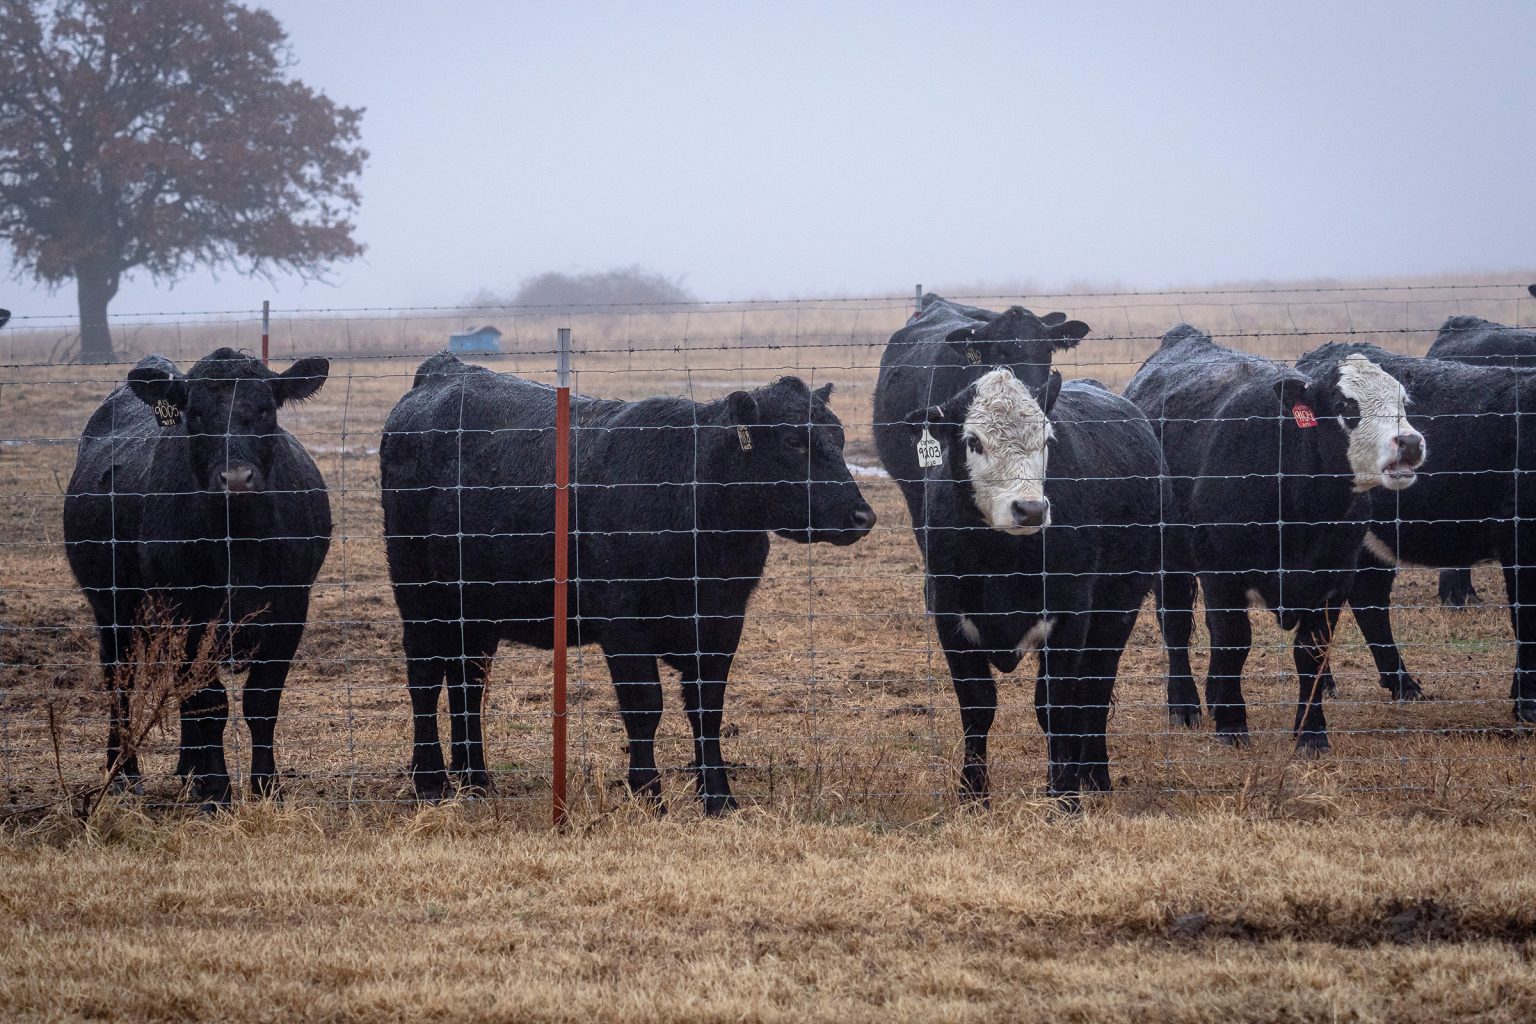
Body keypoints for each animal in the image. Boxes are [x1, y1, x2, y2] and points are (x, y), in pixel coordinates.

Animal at [63, 349, 332, 807]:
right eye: (198, 414)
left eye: (265, 409)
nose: (237, 479)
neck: (237, 539)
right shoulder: (189, 610)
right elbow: (210, 702)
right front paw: (218, 792)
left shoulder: (290, 608)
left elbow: (261, 702)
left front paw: (266, 786)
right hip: (112, 606)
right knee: (121, 678)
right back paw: (124, 771)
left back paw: (190, 768)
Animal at [380, 353, 875, 814]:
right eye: (793, 441)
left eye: (839, 437)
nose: (862, 515)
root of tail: (446, 370)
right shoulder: (623, 623)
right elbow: (644, 705)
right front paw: (650, 795)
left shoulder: (722, 622)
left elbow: (707, 708)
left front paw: (719, 799)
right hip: (418, 593)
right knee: (425, 675)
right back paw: (430, 782)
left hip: (476, 610)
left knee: (468, 680)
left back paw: (477, 781)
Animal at [876, 338, 1162, 802]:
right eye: (973, 440)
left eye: (1047, 439)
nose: (1030, 509)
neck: (1001, 561)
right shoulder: (948, 614)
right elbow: (977, 705)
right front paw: (973, 794)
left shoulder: (1070, 616)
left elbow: (1055, 706)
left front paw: (1063, 797)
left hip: (1119, 609)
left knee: (1095, 688)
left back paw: (1095, 778)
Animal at [1124, 325, 1425, 752]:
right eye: (1344, 404)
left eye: (1403, 401)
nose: (1411, 443)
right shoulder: (1222, 574)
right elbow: (1233, 640)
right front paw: (1232, 725)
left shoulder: (1333, 578)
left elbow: (1311, 651)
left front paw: (1311, 732)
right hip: (1172, 562)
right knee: (1177, 626)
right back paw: (1185, 705)